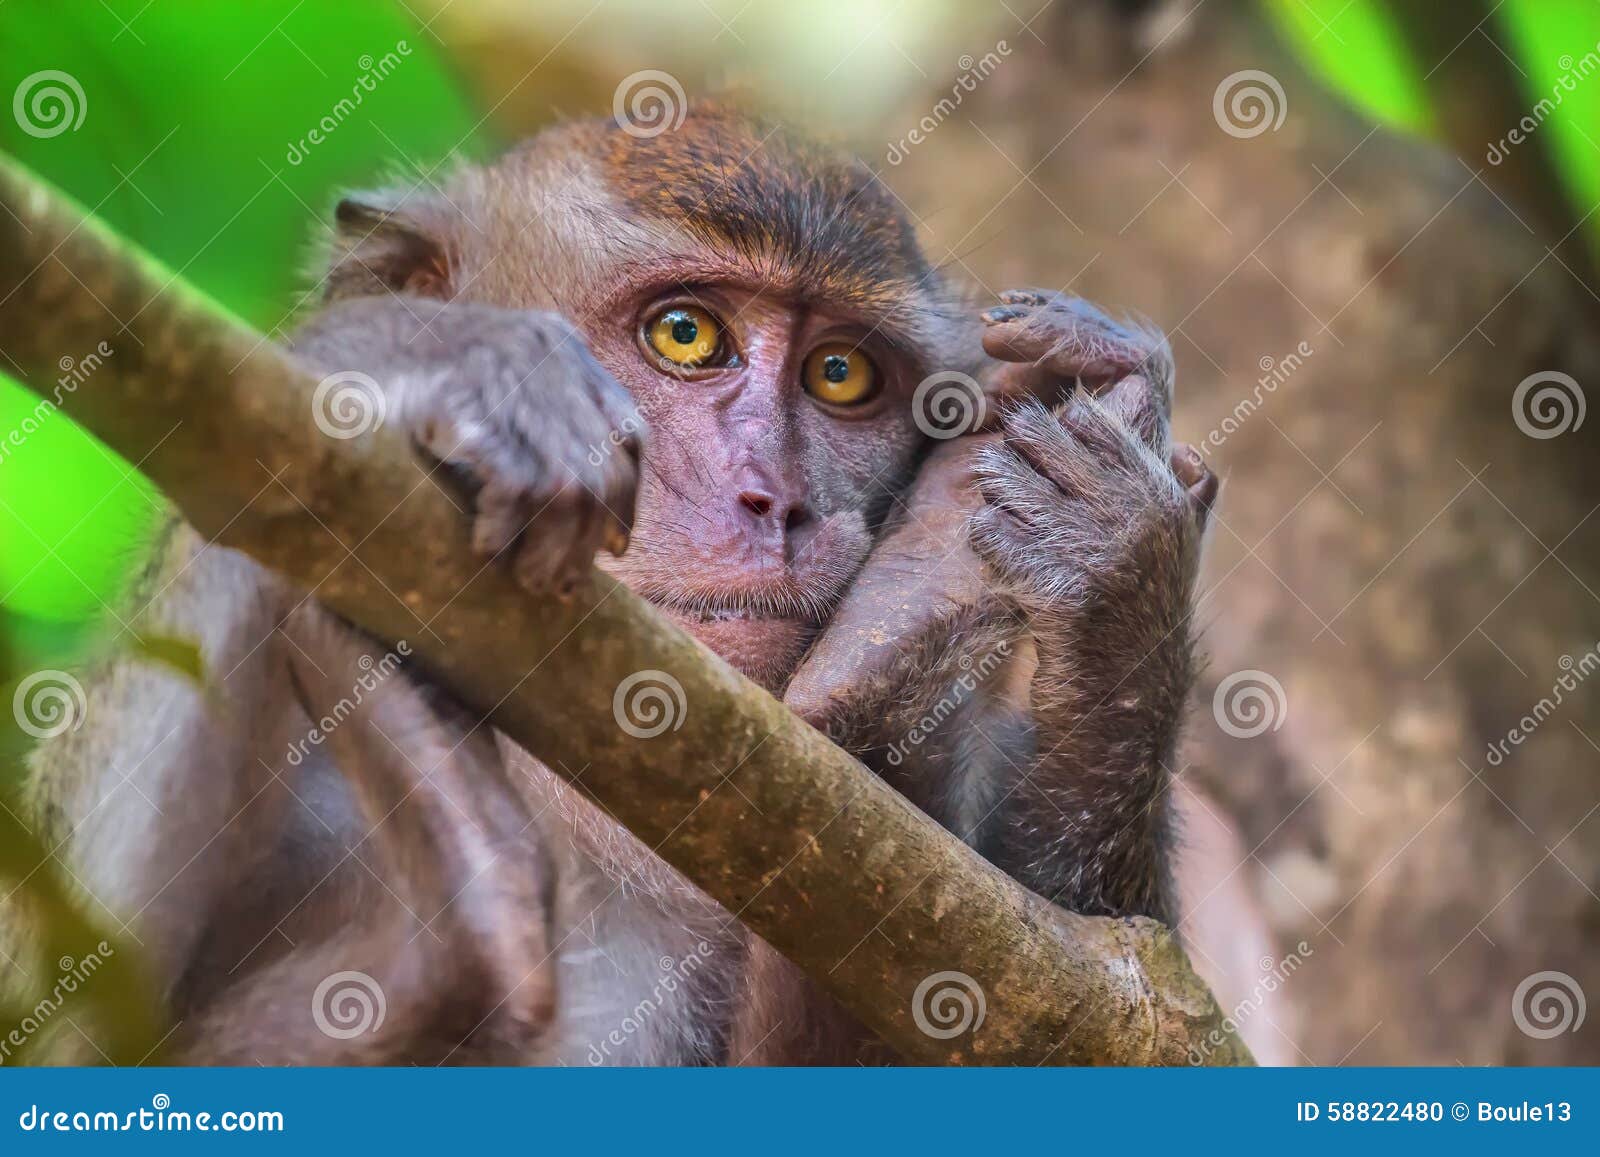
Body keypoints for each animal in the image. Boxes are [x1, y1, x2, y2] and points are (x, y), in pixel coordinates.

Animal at [4, 104, 1216, 1065]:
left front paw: (1098, 563)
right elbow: (69, 1020)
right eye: (685, 334)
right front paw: (412, 352)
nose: (776, 498)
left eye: (839, 374)